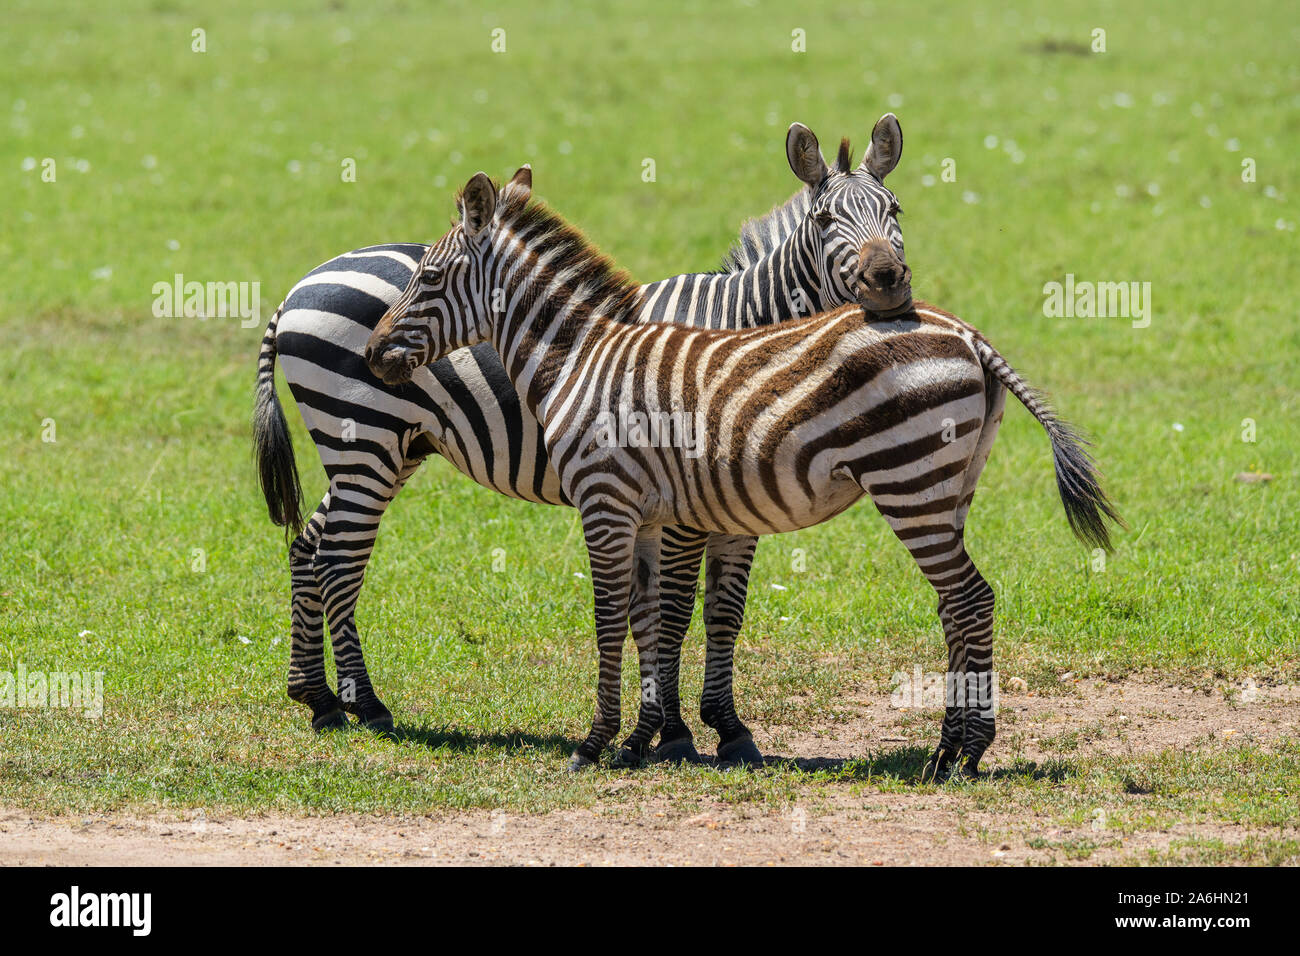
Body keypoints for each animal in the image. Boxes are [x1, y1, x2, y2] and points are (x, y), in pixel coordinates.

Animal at [254, 118, 906, 763]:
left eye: (897, 209)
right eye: (823, 220)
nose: (888, 281)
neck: (740, 330)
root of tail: (299, 286)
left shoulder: (728, 504)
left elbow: (723, 611)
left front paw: (724, 727)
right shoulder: (682, 505)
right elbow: (670, 611)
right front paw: (673, 732)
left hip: (382, 453)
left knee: (308, 546)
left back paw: (319, 699)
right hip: (364, 441)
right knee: (339, 559)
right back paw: (366, 704)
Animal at [364, 159, 1123, 778]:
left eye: (428, 278)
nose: (371, 354)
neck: (577, 356)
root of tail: (966, 332)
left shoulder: (606, 501)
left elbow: (612, 617)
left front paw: (595, 743)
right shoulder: (651, 513)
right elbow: (653, 617)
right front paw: (646, 740)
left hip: (910, 483)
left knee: (970, 598)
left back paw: (961, 752)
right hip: (947, 489)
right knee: (957, 602)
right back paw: (951, 749)